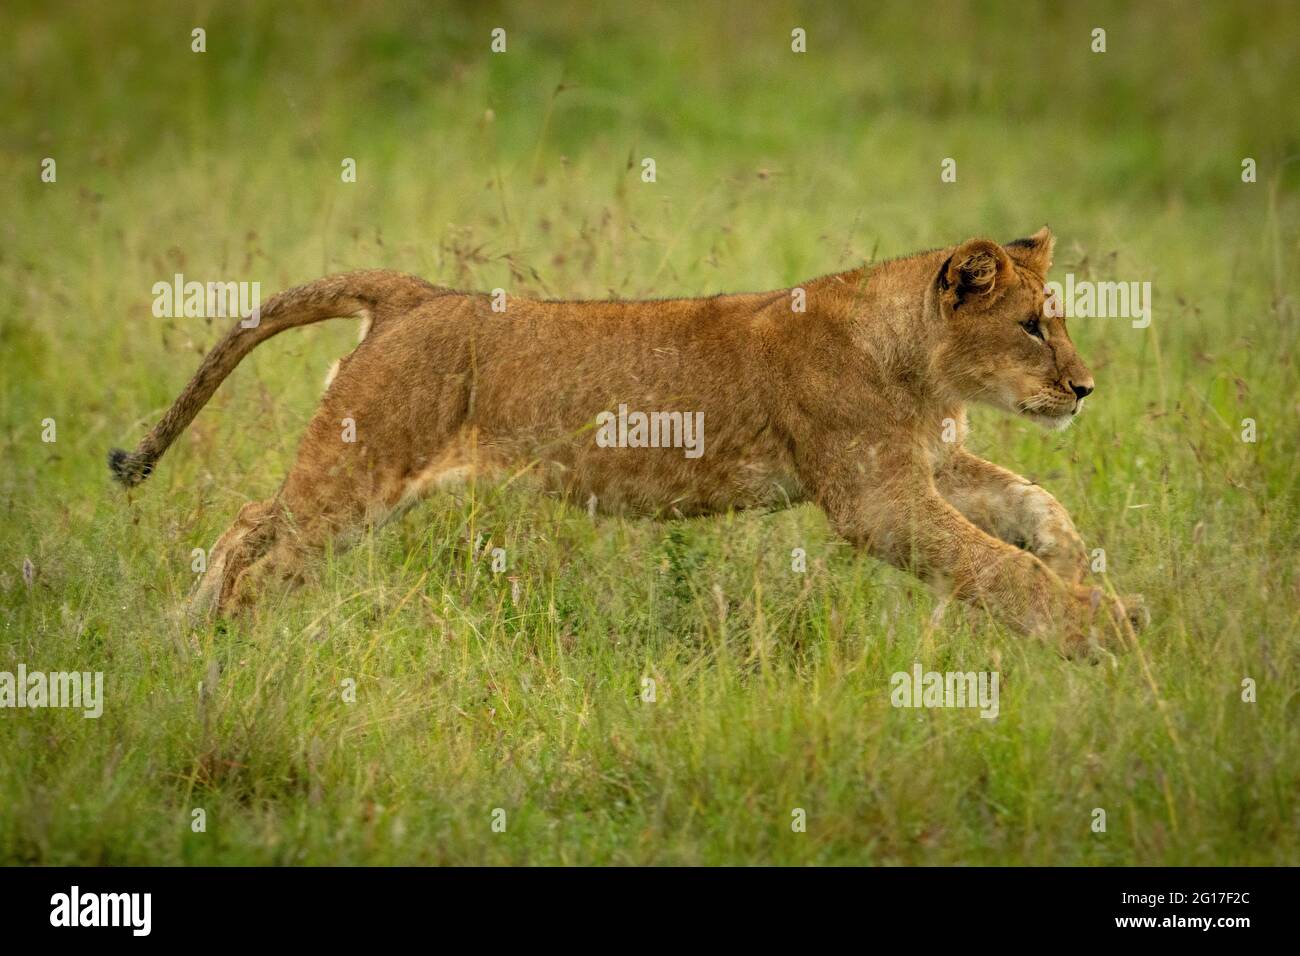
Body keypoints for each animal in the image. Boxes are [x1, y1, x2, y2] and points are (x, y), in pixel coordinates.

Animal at [110, 226, 1145, 653]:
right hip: (358, 479)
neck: (923, 369)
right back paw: (222, 653)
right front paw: (1096, 630)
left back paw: (178, 632)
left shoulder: (930, 464)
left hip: (354, 484)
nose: (1085, 389)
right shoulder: (876, 500)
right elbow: (990, 567)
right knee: (262, 559)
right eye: (1031, 327)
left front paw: (1086, 568)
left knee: (247, 522)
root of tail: (415, 295)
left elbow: (1029, 504)